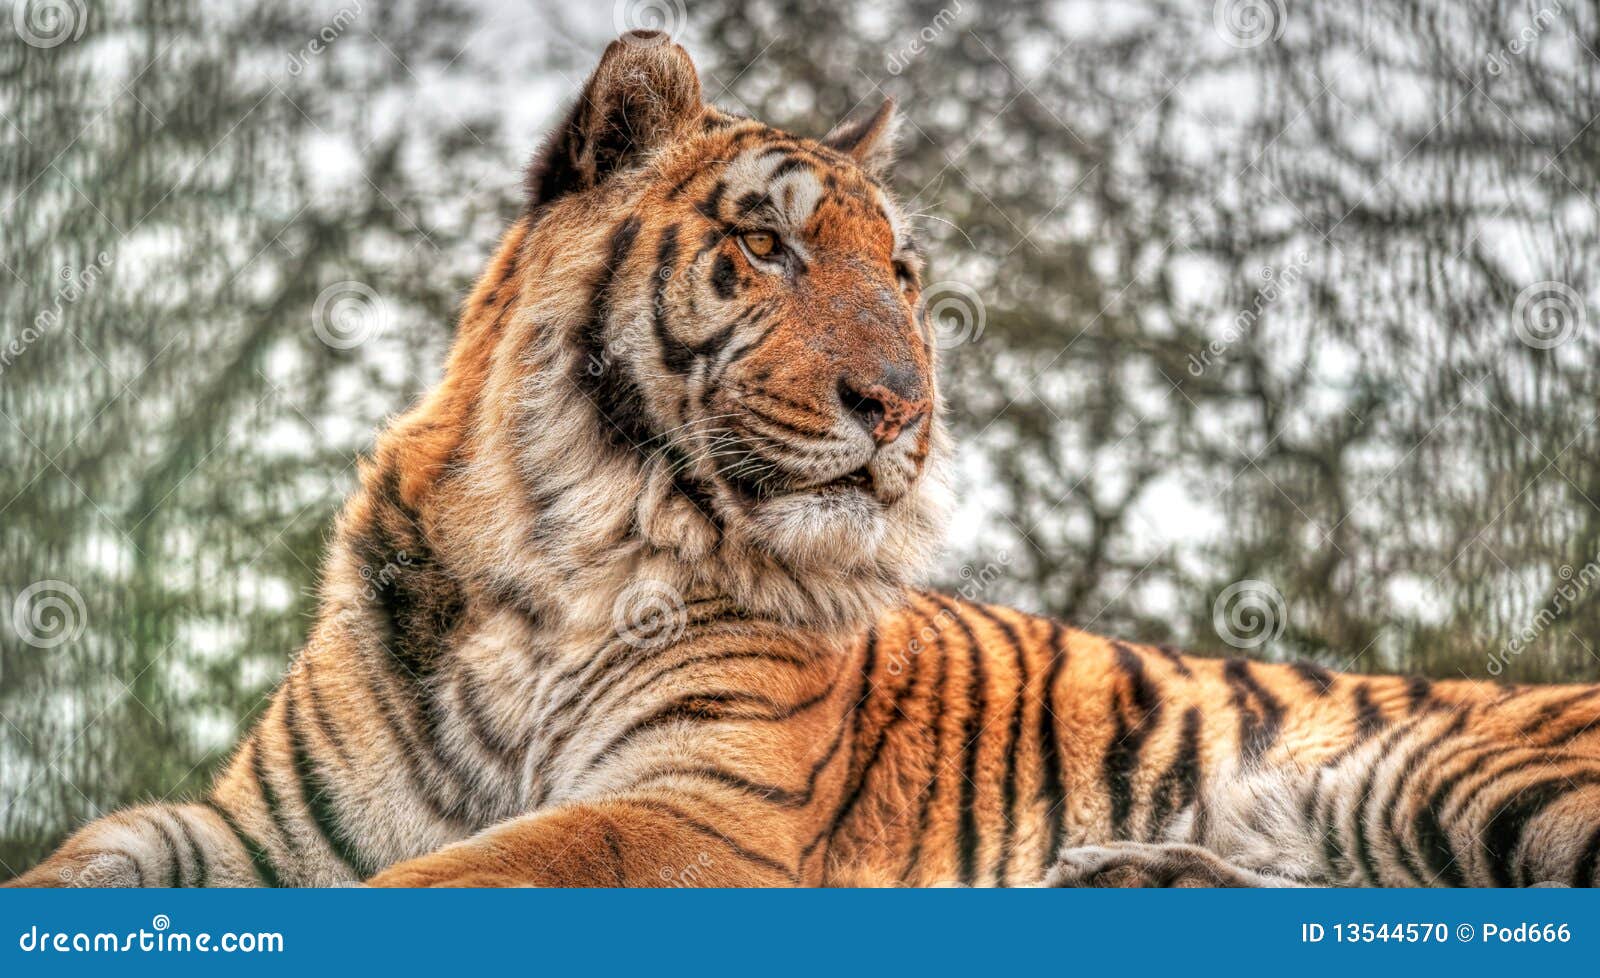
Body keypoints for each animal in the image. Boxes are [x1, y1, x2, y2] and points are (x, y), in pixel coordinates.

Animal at [10, 32, 1600, 889]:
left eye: (898, 272)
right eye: (765, 246)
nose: (901, 408)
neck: (538, 558)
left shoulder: (696, 809)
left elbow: (450, 876)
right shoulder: (255, 822)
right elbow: (94, 850)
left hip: (1450, 776)